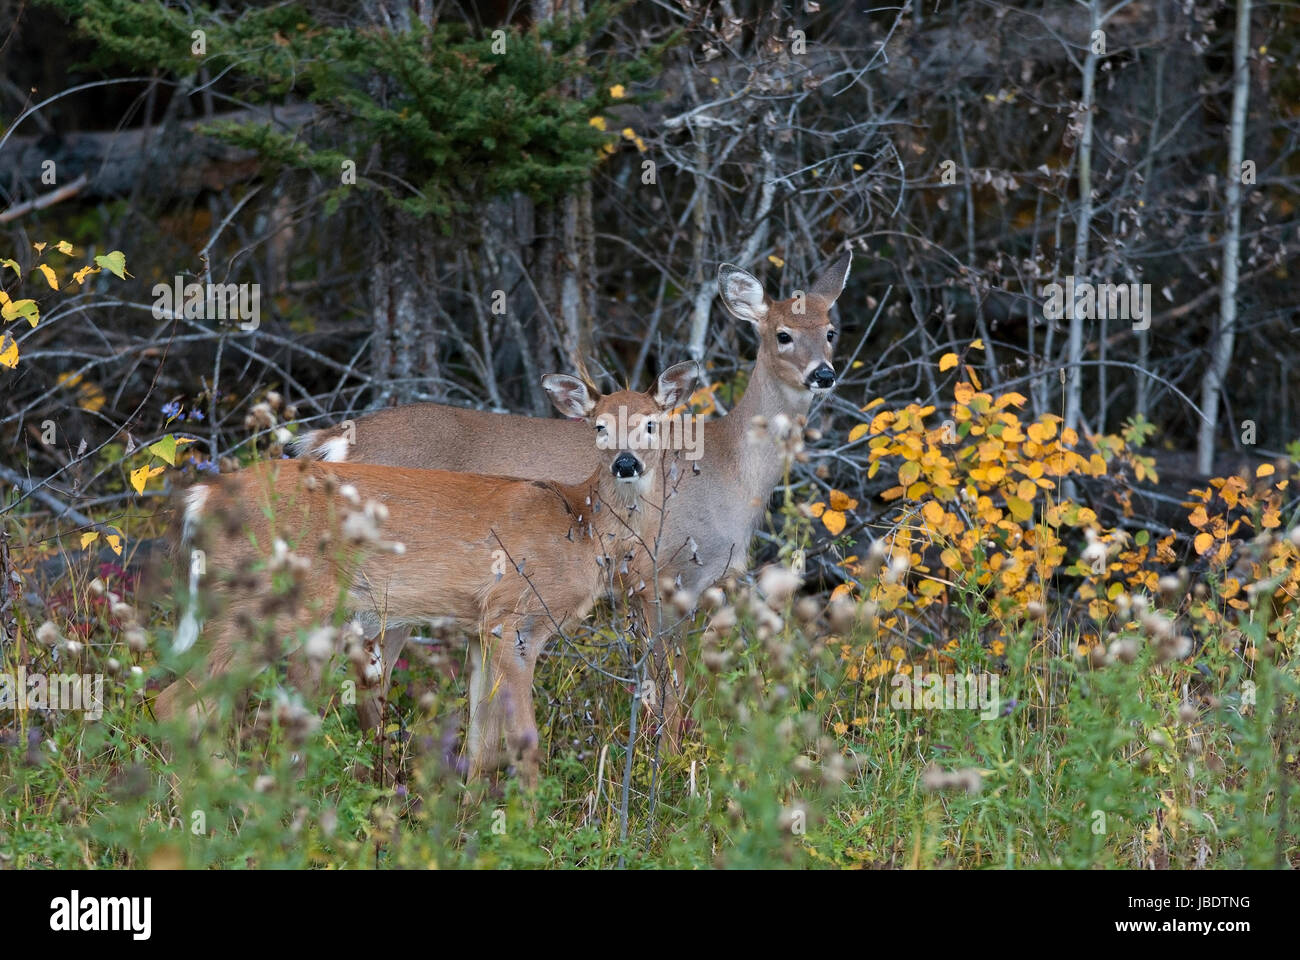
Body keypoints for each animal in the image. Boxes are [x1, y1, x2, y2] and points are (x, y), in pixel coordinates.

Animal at [154, 361, 700, 786]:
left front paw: (472, 819)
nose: (625, 464)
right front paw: (527, 822)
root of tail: (201, 500)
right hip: (279, 600)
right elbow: (524, 740)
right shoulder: (515, 617)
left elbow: (481, 743)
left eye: (652, 424)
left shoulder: (480, 628)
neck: (581, 528)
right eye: (599, 427)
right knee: (178, 702)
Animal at [291, 253, 851, 752]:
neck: (728, 470)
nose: (823, 374)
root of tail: (332, 441)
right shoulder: (657, 572)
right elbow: (666, 685)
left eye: (830, 330)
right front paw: (669, 761)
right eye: (782, 334)